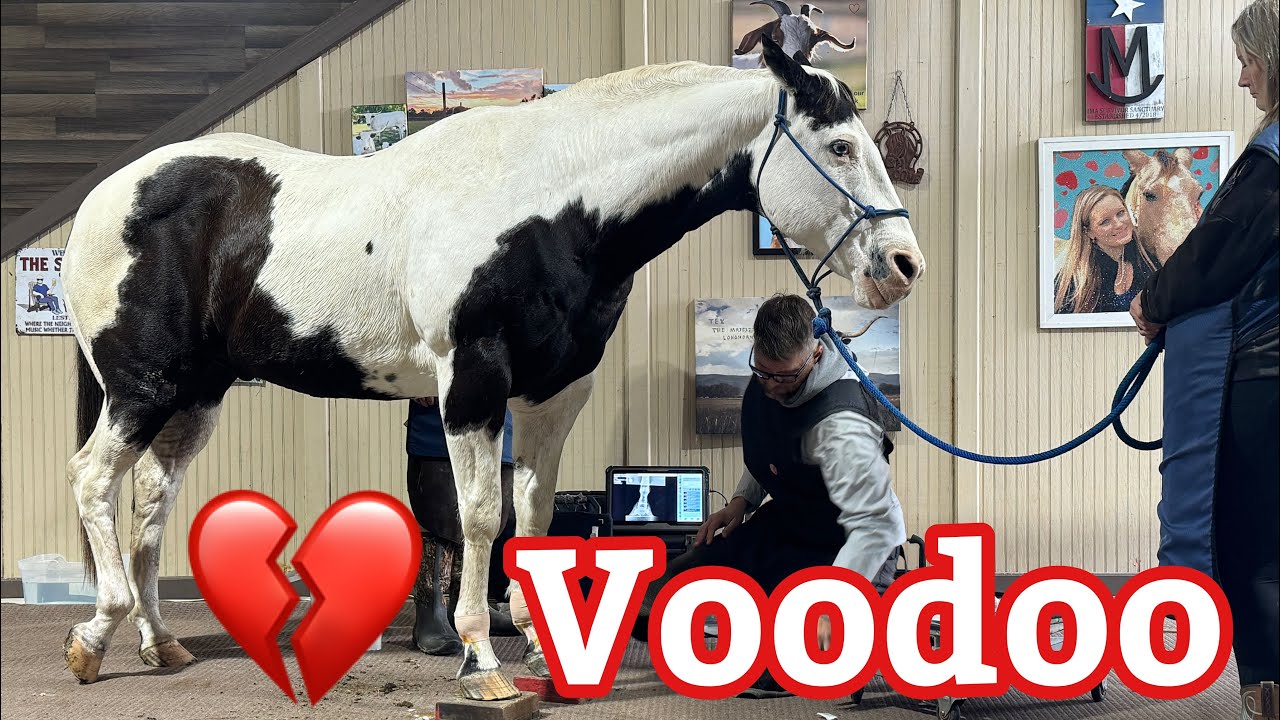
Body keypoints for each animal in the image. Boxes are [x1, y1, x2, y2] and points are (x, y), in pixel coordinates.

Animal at [58, 35, 925, 701]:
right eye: (840, 147)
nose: (902, 264)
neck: (554, 205)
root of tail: (107, 197)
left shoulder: (555, 392)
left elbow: (532, 518)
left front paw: (545, 651)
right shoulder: (472, 380)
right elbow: (478, 517)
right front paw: (482, 660)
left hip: (192, 398)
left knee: (150, 501)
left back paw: (160, 643)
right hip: (140, 390)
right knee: (94, 480)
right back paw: (94, 638)